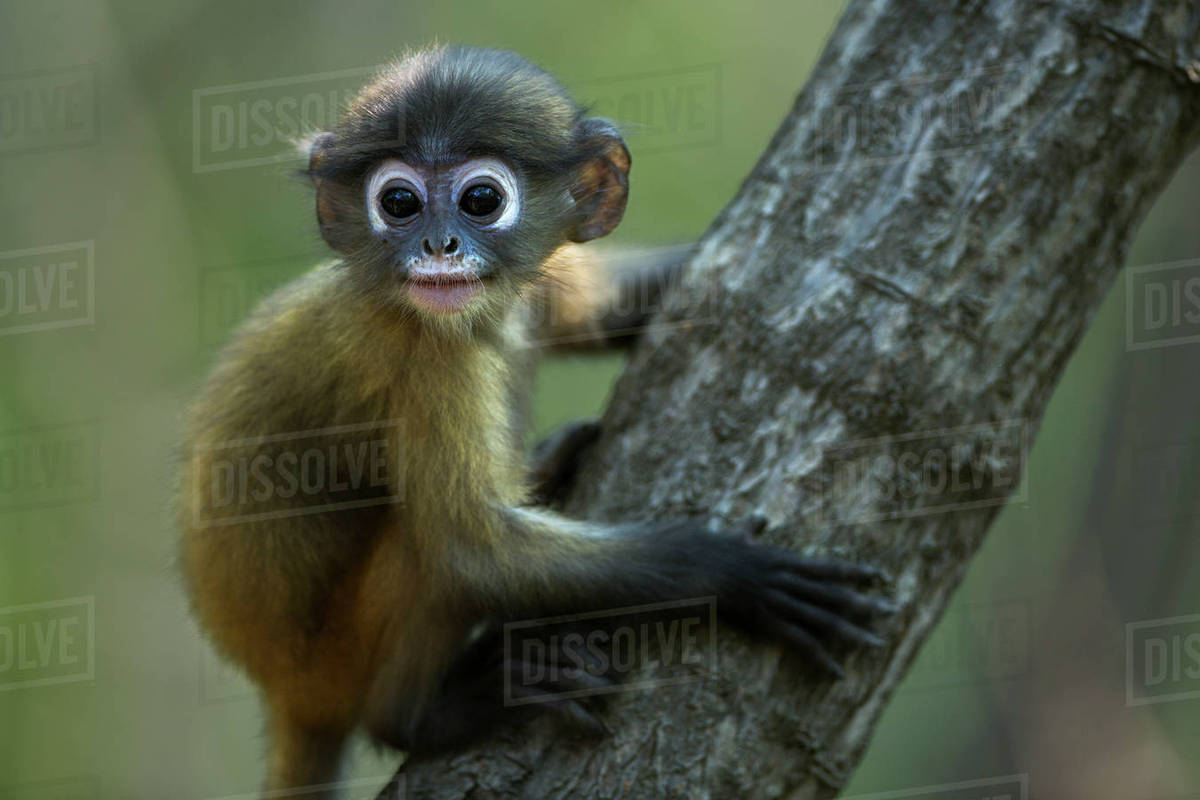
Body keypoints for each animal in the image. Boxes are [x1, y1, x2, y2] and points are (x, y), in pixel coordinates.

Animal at [178, 45, 893, 799]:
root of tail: (291, 692)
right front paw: (731, 572)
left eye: (480, 200)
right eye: (398, 203)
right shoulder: (423, 360)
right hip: (340, 656)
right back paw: (430, 711)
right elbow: (473, 553)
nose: (438, 243)